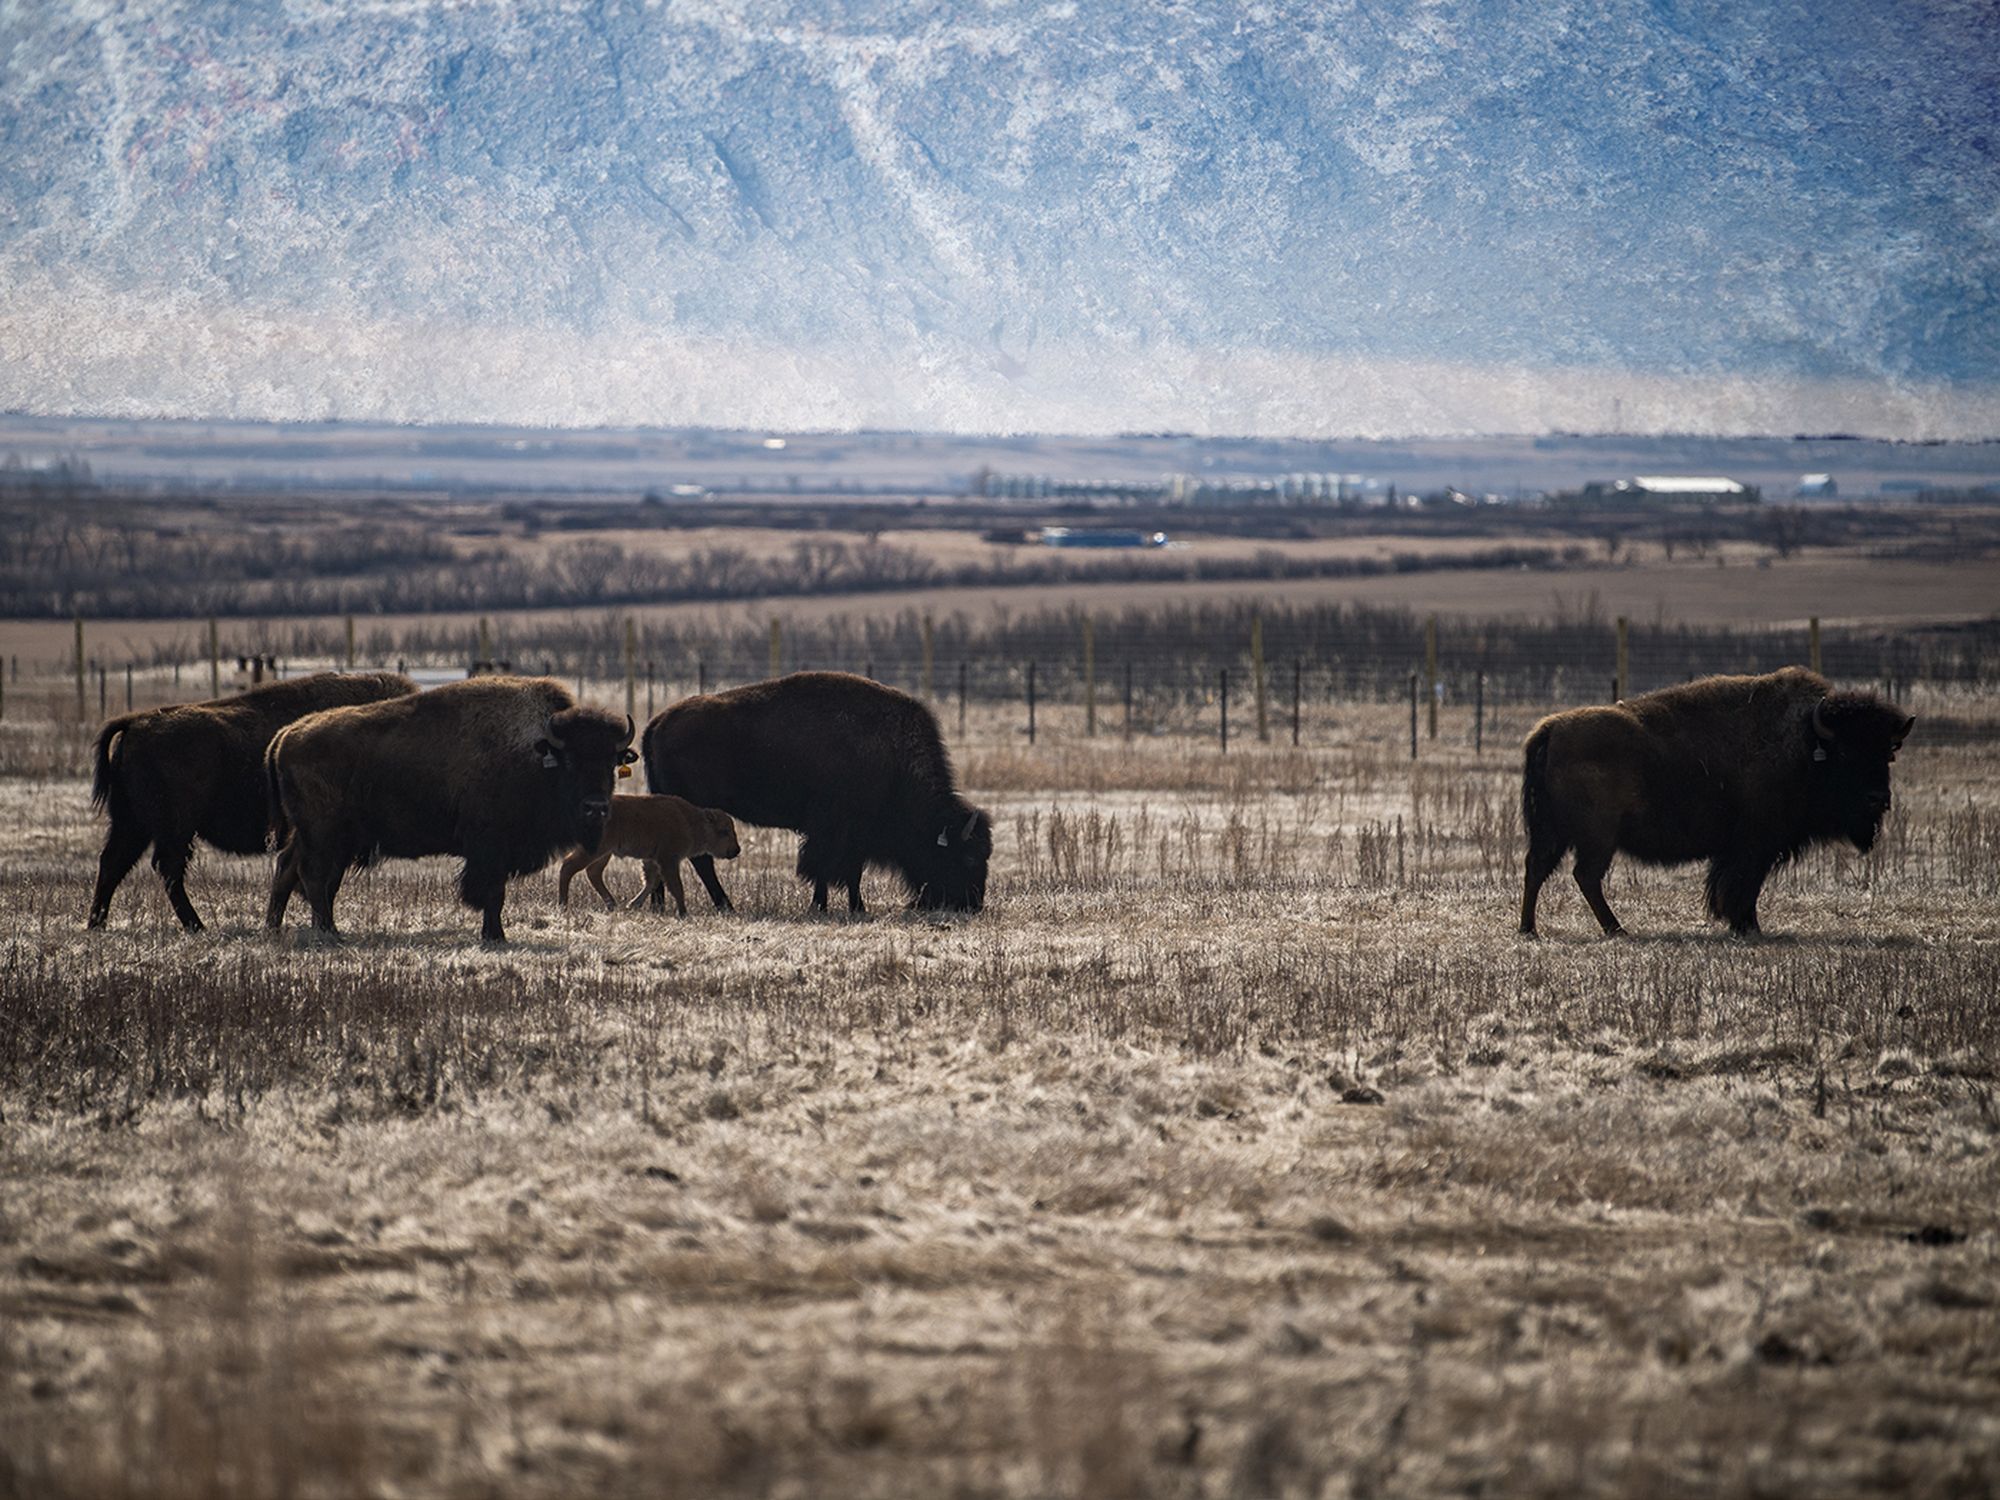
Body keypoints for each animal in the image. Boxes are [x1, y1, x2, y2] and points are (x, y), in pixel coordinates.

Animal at [88, 670, 416, 931]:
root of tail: (136, 722)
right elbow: (325, 879)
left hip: (133, 824)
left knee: (114, 862)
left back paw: (98, 923)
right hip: (173, 827)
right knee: (165, 867)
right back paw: (196, 925)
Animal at [265, 676, 635, 942]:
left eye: (611, 763)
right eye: (570, 760)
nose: (596, 808)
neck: (536, 754)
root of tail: (285, 735)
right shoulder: (490, 849)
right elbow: (493, 892)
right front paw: (495, 936)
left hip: (318, 836)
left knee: (289, 868)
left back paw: (278, 927)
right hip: (323, 834)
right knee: (312, 875)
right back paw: (328, 931)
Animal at [642, 671, 991, 914]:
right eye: (968, 856)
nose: (972, 904)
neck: (893, 758)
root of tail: (657, 723)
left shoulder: (851, 835)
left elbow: (848, 871)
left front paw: (847, 906)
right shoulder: (835, 829)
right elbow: (830, 867)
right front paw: (834, 906)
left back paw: (660, 904)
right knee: (700, 860)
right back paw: (724, 904)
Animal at [1520, 667, 1914, 938]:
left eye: (1888, 753)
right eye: (1845, 752)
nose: (1878, 798)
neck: (1807, 744)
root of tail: (1552, 728)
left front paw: (1744, 924)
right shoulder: (1755, 844)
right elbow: (1742, 885)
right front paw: (1746, 925)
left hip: (1555, 833)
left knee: (1539, 869)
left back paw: (1532, 929)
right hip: (1597, 837)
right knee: (1584, 875)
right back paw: (1616, 929)